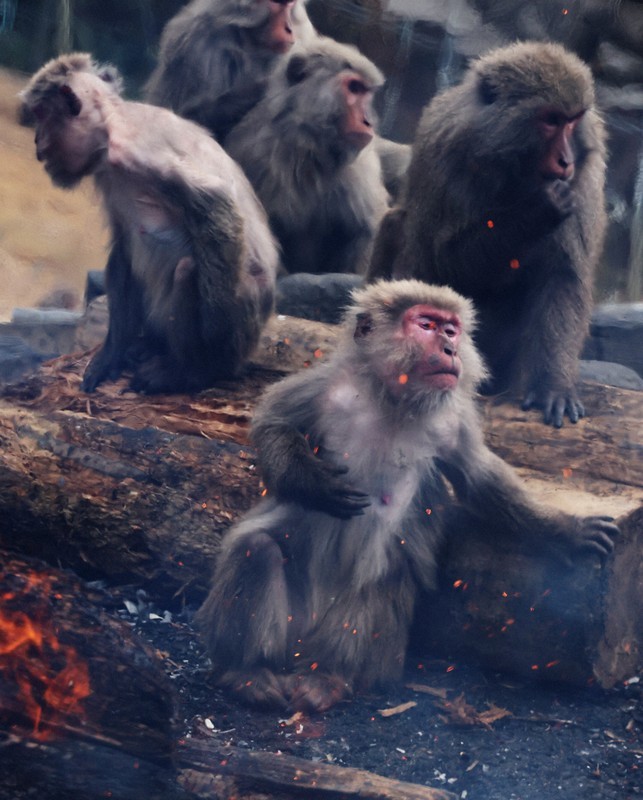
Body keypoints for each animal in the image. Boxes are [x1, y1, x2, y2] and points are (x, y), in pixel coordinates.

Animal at [21, 53, 279, 394]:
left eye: (41, 115)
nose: (37, 140)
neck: (114, 125)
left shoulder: (138, 154)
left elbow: (218, 205)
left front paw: (208, 361)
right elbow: (124, 244)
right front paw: (113, 351)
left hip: (242, 325)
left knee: (190, 269)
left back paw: (191, 370)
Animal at [195, 279, 617, 713]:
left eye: (451, 330)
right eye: (426, 325)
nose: (449, 349)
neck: (392, 399)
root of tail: (300, 646)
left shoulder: (451, 421)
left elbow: (479, 480)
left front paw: (565, 531)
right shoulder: (323, 386)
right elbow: (272, 426)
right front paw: (310, 481)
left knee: (387, 574)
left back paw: (329, 677)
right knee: (257, 550)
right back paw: (247, 671)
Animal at [225, 38, 390, 276]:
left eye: (366, 93)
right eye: (354, 88)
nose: (367, 121)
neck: (310, 145)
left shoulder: (361, 168)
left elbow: (367, 231)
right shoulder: (253, 152)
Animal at [368, 42, 608, 428]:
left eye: (573, 121)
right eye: (551, 120)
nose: (566, 160)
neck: (513, 166)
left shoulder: (584, 176)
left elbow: (563, 274)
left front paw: (552, 386)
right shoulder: (446, 152)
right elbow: (443, 259)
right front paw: (538, 209)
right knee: (400, 226)